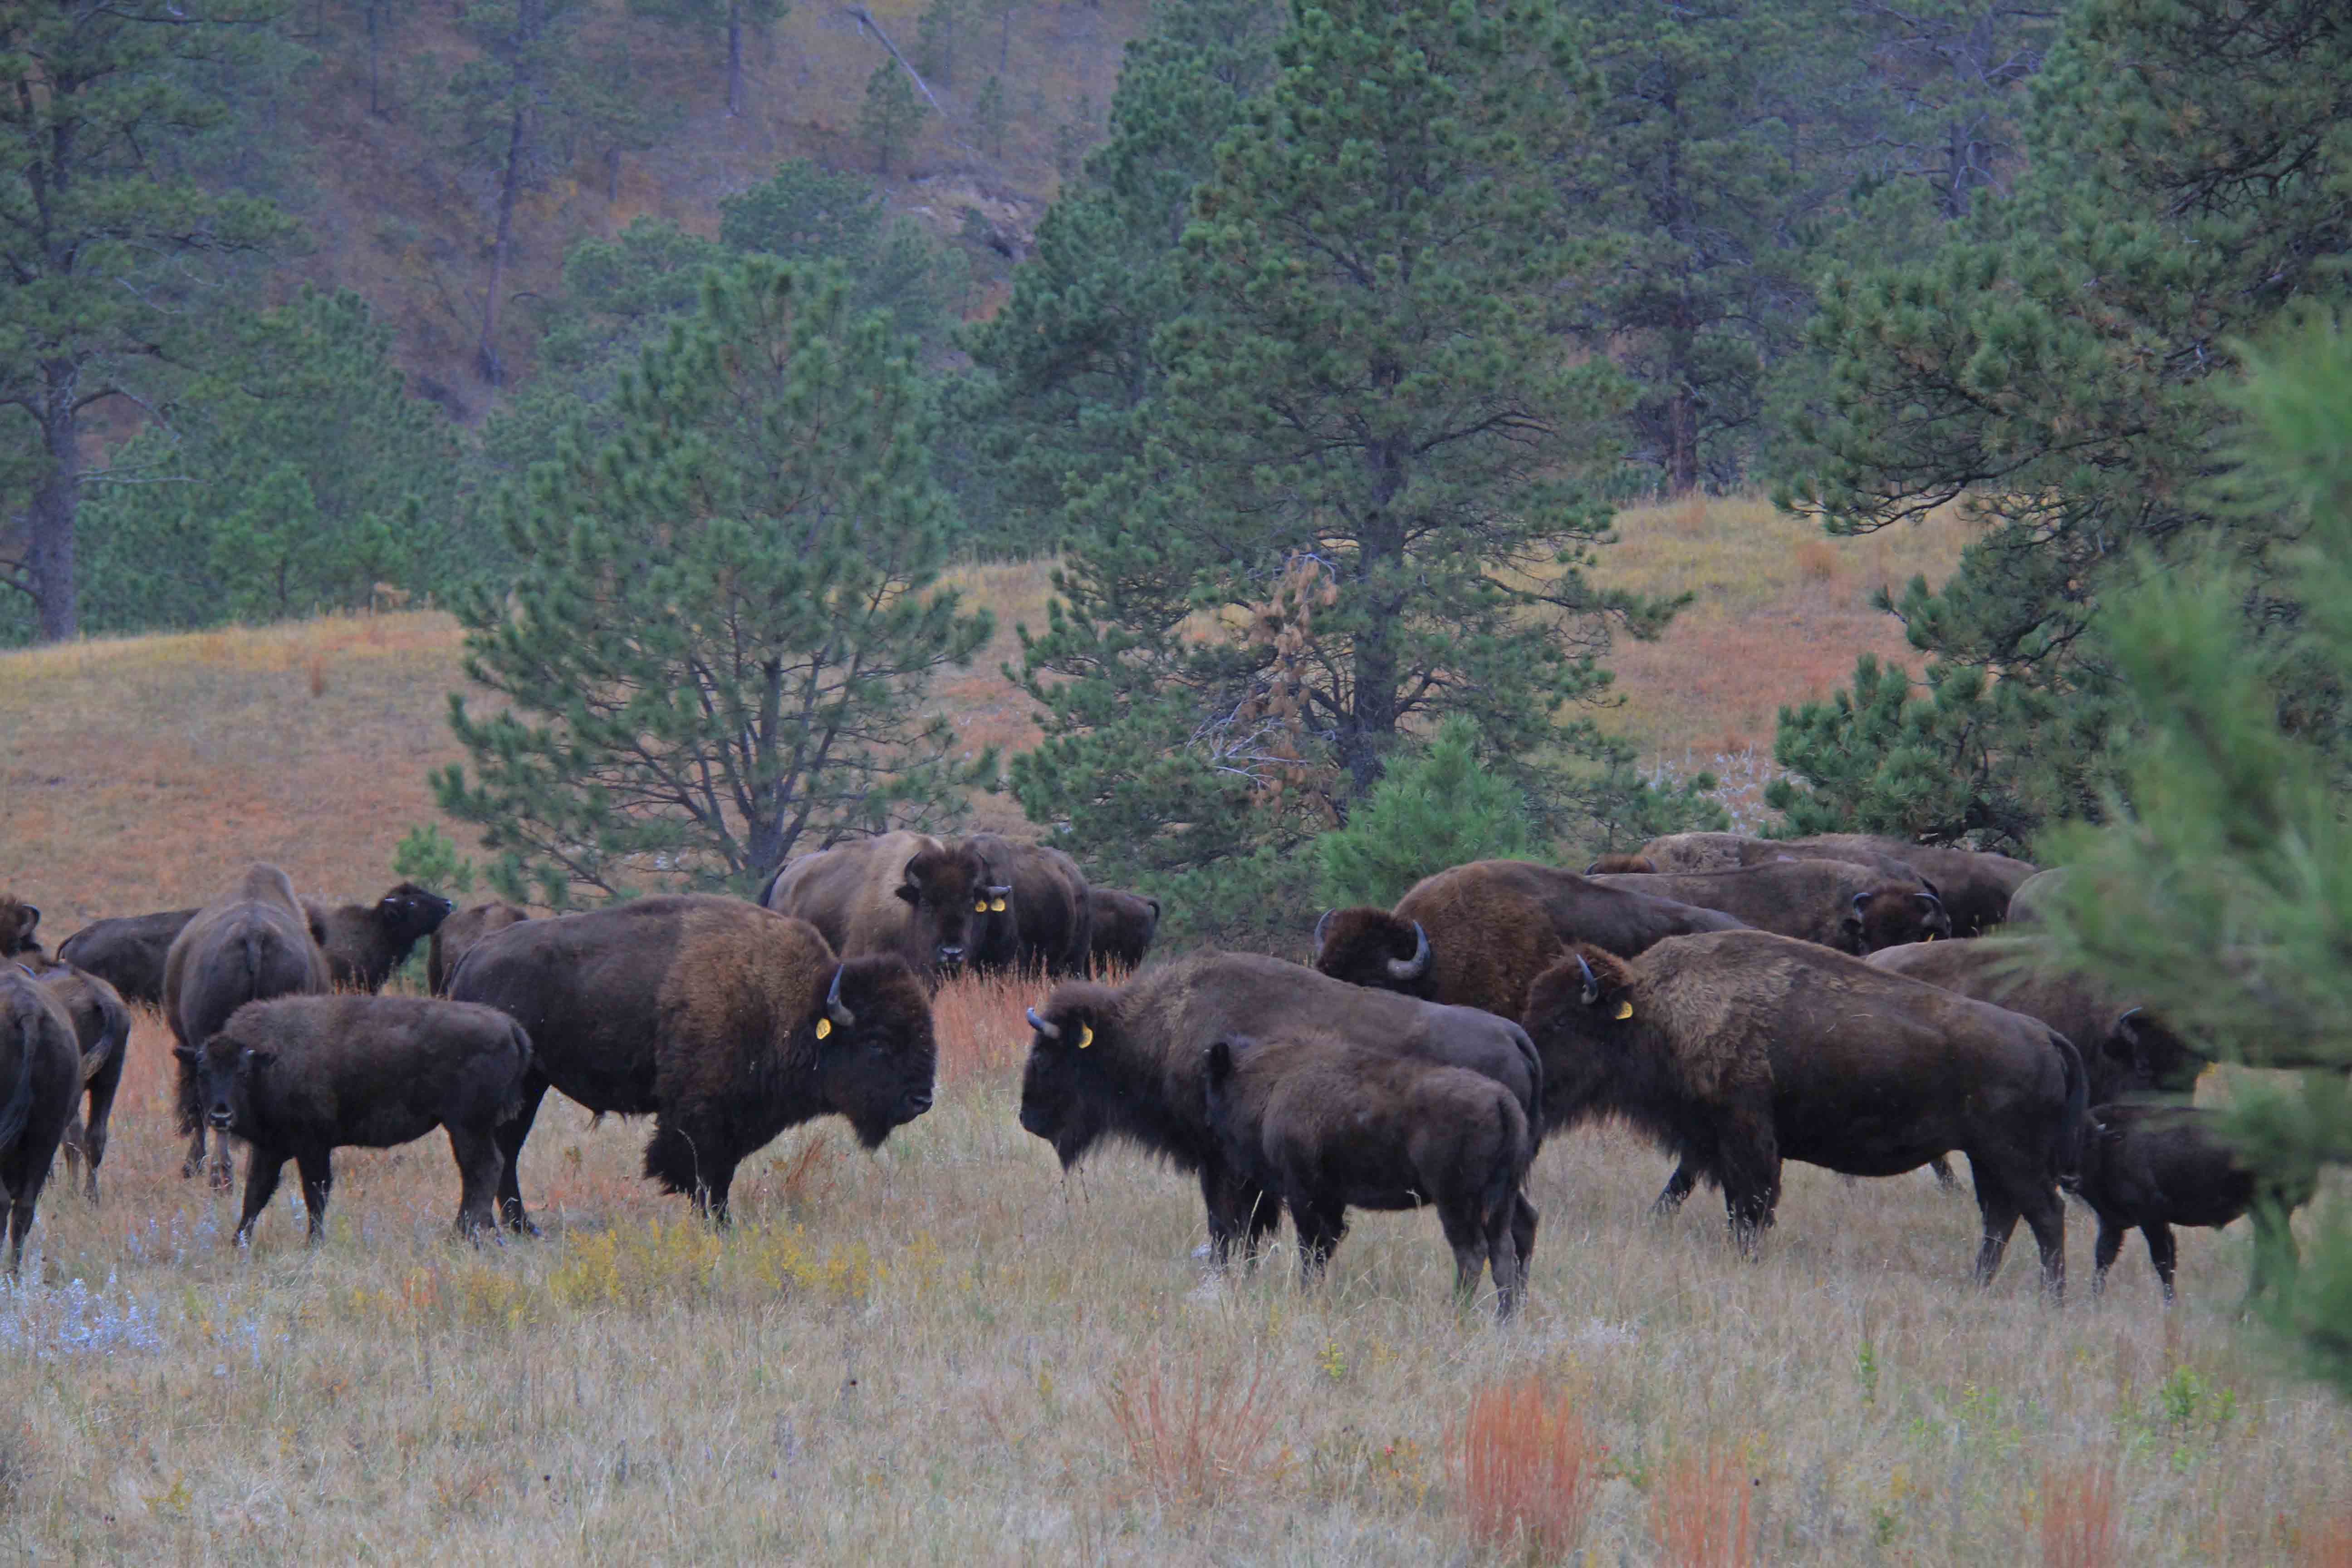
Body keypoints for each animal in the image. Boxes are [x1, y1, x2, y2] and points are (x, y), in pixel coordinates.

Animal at [180, 995, 534, 1243]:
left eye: (242, 1073)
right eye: (202, 1072)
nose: (221, 1114)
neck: (268, 1062)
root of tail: (509, 1026)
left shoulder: (312, 1146)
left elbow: (315, 1194)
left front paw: (313, 1244)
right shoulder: (270, 1149)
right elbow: (255, 1194)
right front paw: (238, 1243)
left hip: (467, 1127)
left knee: (484, 1169)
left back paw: (464, 1234)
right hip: (469, 1129)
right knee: (478, 1172)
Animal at [450, 895, 935, 1226]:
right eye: (878, 1042)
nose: (922, 1100)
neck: (791, 1003)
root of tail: (473, 956)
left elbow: (720, 1175)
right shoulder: (702, 1117)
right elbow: (702, 1174)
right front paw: (718, 1225)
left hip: (530, 1087)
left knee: (505, 1151)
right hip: (522, 1087)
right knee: (502, 1151)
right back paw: (518, 1226)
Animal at [1018, 951, 1542, 1270]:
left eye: (1045, 1056)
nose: (1028, 1119)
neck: (1164, 1028)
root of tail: (1514, 1035)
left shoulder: (1223, 1167)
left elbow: (1228, 1227)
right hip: (1503, 1186)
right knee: (1522, 1227)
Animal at [1204, 1033, 1532, 1319]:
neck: (1274, 1083)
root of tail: (1501, 1099)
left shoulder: (1304, 1193)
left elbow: (1311, 1248)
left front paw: (1306, 1295)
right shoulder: (1329, 1200)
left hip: (1454, 1200)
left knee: (1472, 1252)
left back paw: (1459, 1313)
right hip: (1501, 1199)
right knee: (1506, 1248)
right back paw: (1505, 1318)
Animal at [1523, 931, 2085, 1294]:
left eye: (1562, 1022)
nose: (1528, 1072)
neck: (1657, 1012)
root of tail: (2044, 1035)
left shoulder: (1745, 1136)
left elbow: (1750, 1206)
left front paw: (1746, 1260)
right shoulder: (1707, 1139)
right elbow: (1689, 1192)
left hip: (2014, 1158)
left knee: (2045, 1215)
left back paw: (2051, 1298)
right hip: (1987, 1158)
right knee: (2000, 1217)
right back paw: (1979, 1285)